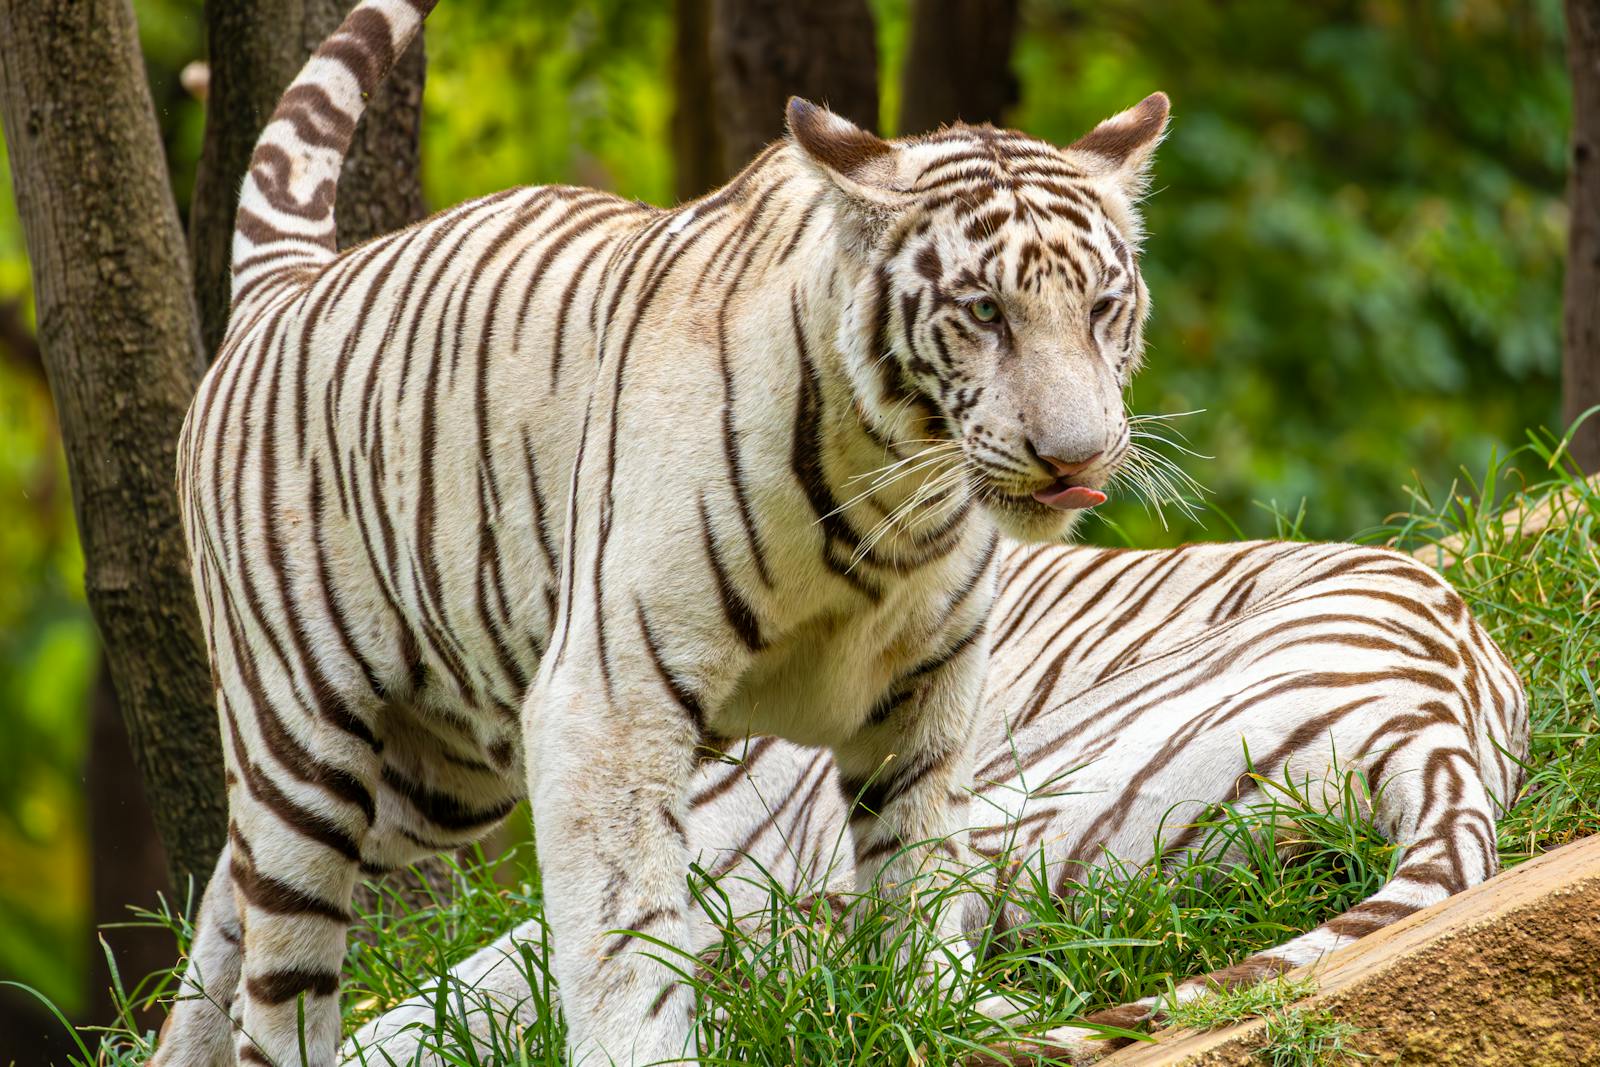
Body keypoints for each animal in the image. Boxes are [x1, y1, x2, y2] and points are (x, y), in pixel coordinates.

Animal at [156, 0, 1174, 1062]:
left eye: (1103, 307)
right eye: (984, 311)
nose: (1074, 456)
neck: (895, 503)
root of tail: (284, 290)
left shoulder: (930, 683)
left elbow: (920, 857)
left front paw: (935, 1005)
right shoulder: (608, 698)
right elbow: (627, 922)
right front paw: (645, 1044)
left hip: (434, 775)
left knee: (226, 909)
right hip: (309, 742)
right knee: (283, 972)